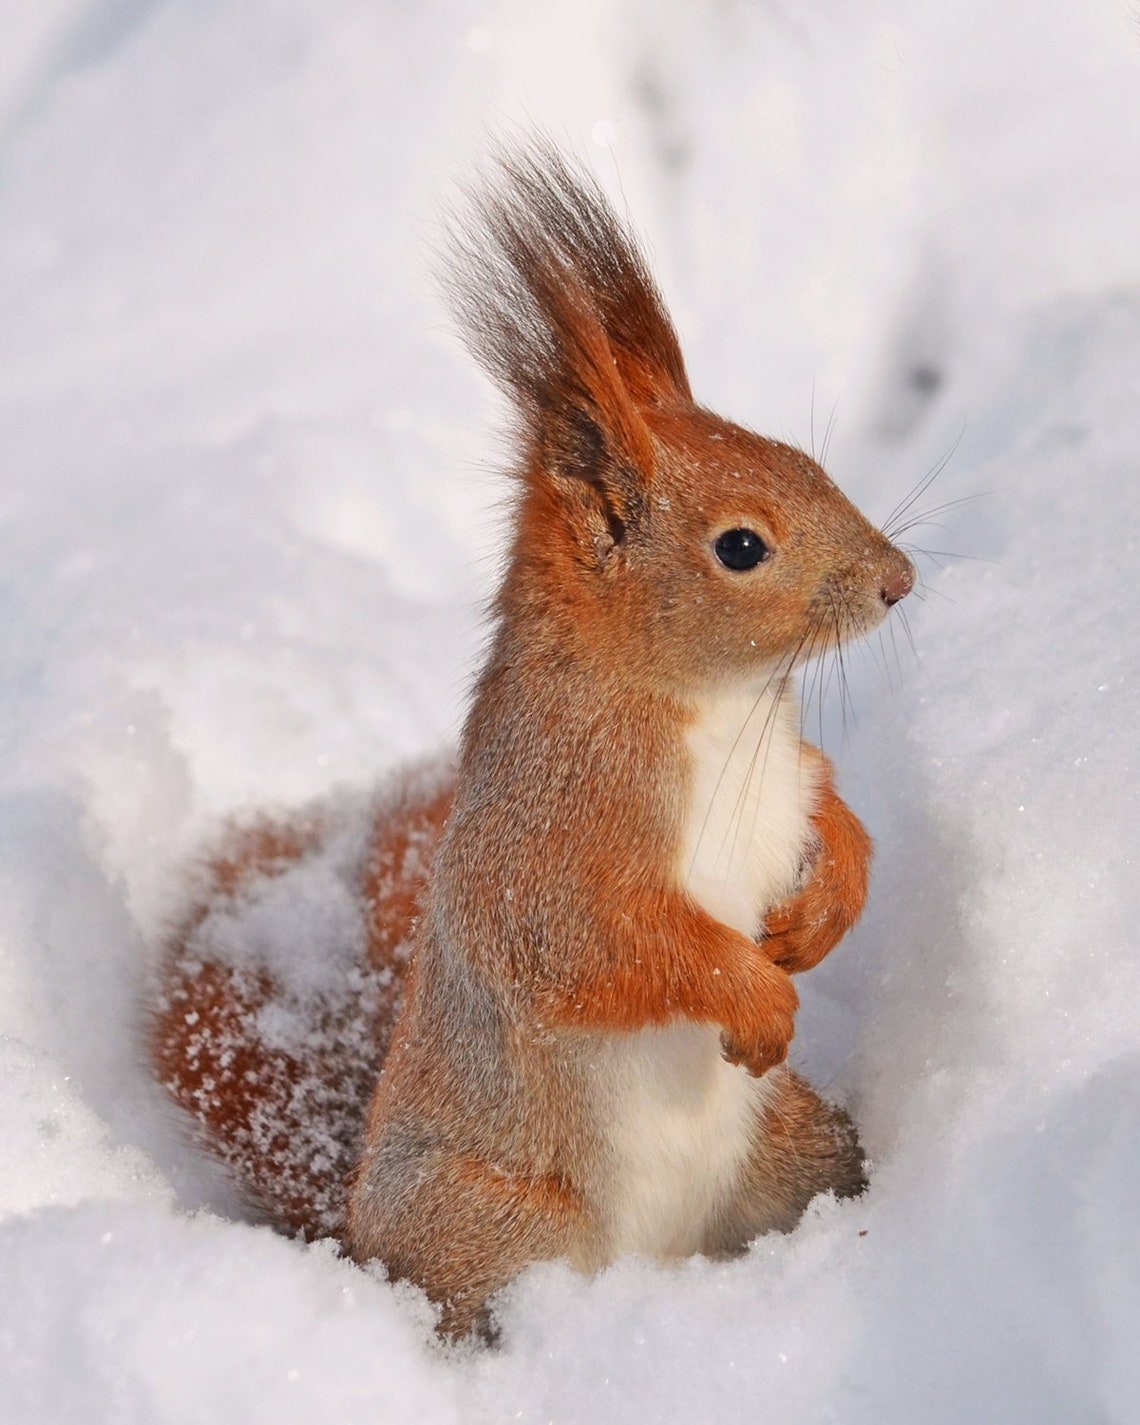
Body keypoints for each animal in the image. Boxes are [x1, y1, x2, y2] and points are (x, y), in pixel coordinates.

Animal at [152, 142, 914, 1340]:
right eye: (741, 546)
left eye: (803, 457)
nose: (899, 578)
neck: (722, 707)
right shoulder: (552, 827)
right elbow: (594, 942)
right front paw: (756, 990)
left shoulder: (792, 774)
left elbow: (837, 816)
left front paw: (823, 910)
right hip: (498, 1219)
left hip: (797, 1143)